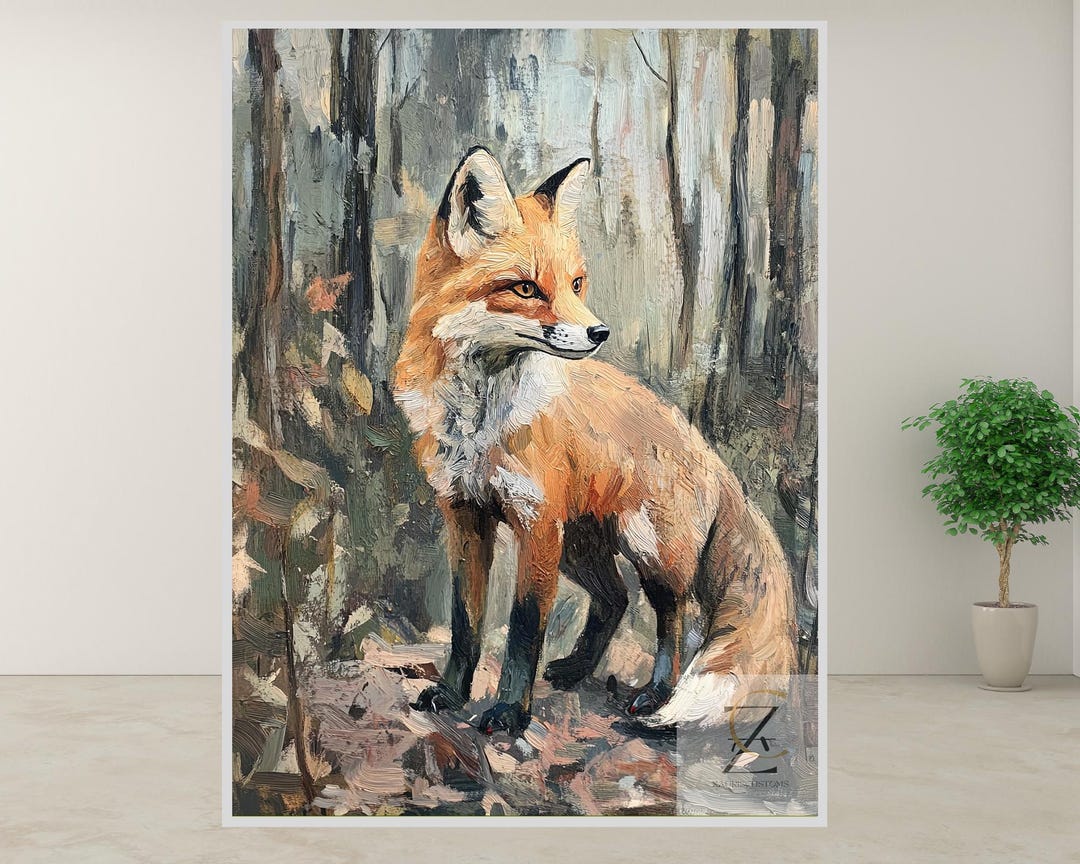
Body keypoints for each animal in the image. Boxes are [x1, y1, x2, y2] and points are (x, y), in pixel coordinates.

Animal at [392, 146, 798, 735]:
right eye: (525, 288)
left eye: (577, 283)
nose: (599, 333)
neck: (481, 423)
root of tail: (710, 455)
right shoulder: (465, 515)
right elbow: (466, 622)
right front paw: (450, 693)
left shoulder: (536, 523)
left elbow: (524, 630)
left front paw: (509, 714)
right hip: (580, 547)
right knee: (614, 600)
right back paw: (577, 669)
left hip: (646, 546)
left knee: (672, 618)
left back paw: (654, 697)